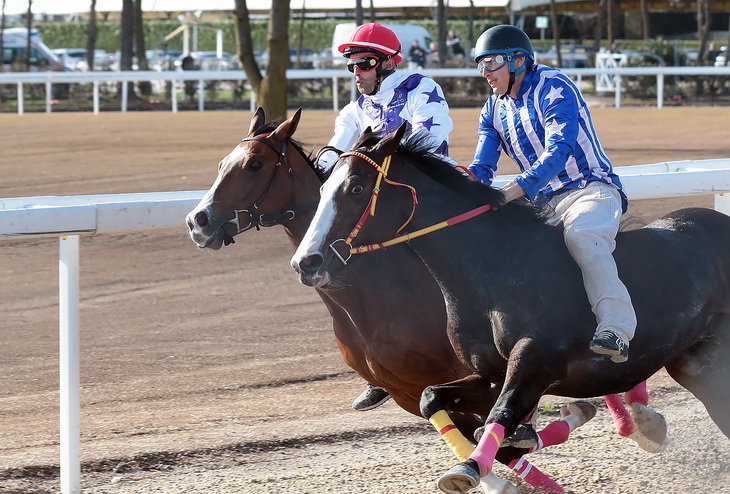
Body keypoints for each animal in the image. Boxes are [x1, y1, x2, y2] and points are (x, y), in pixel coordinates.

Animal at [186, 110, 664, 492]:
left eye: (253, 165)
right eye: (221, 163)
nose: (198, 221)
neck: (374, 298)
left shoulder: (483, 371)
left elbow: (501, 433)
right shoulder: (409, 389)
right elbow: (480, 434)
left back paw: (639, 416)